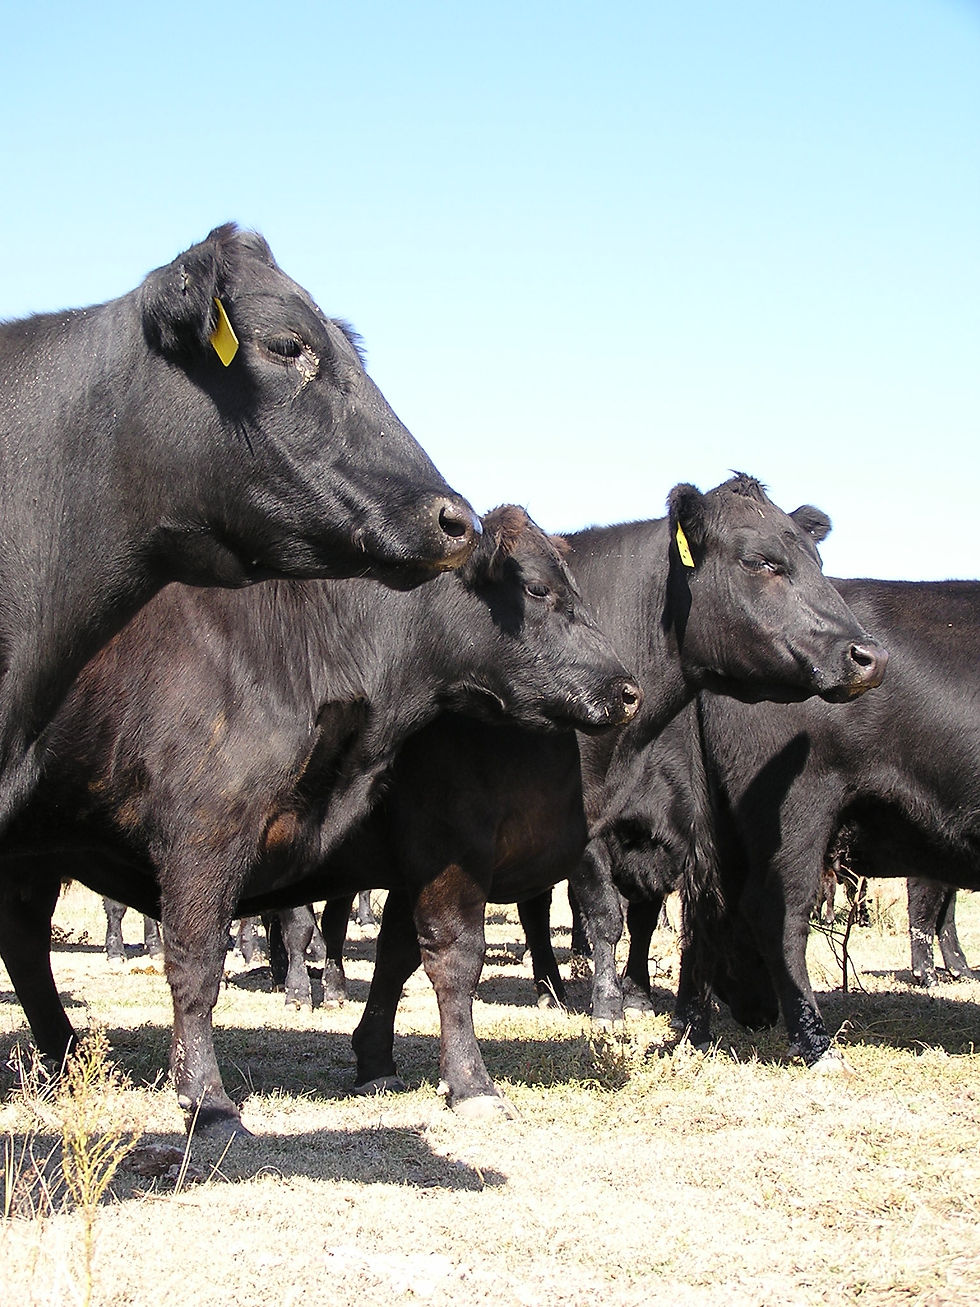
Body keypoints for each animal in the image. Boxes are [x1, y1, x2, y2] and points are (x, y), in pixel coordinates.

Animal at [0, 505, 641, 1136]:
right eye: (538, 588)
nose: (628, 689)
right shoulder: (205, 835)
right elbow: (197, 963)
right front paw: (206, 1099)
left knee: (25, 945)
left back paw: (64, 1057)